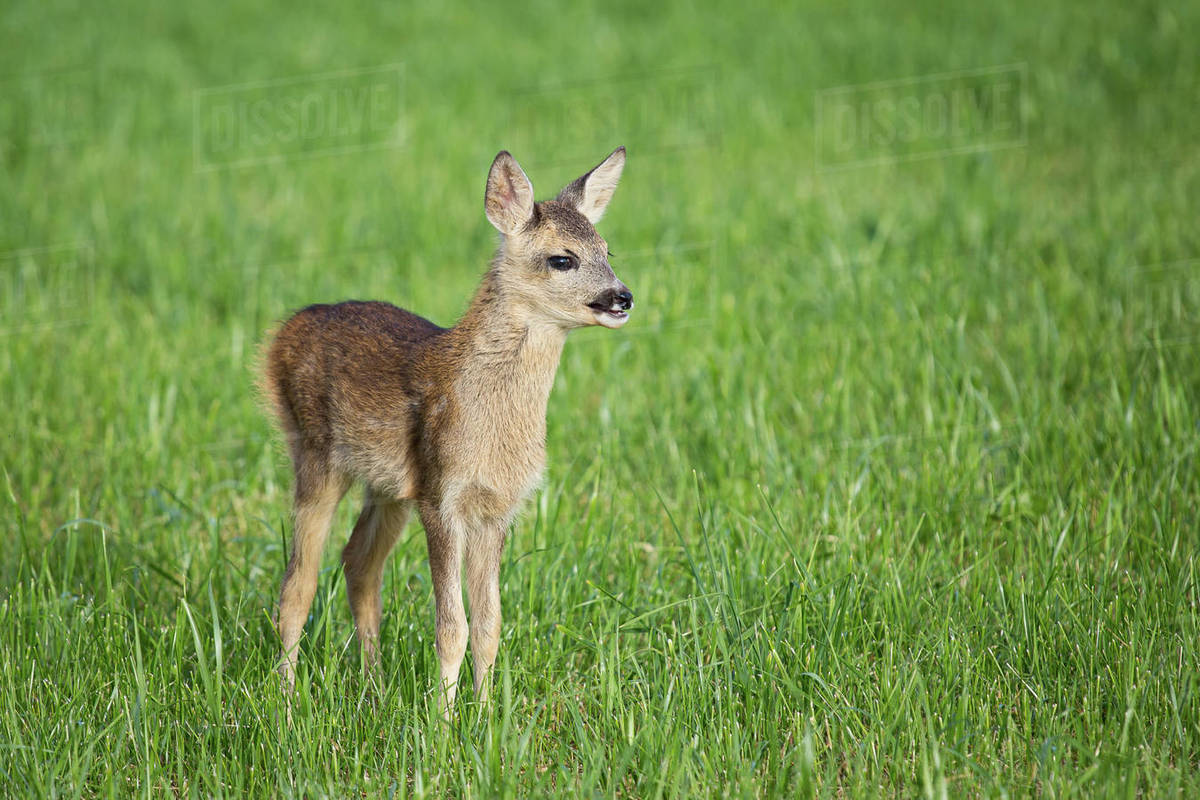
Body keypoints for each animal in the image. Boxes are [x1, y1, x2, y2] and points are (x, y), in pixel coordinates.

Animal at [260, 147, 632, 716]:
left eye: (608, 249)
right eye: (562, 258)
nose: (622, 297)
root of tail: (283, 334)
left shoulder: (496, 508)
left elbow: (490, 625)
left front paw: (486, 714)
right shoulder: (442, 495)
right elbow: (451, 626)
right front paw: (444, 719)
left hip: (389, 488)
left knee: (359, 564)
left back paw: (374, 684)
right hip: (315, 452)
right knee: (296, 584)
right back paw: (285, 697)